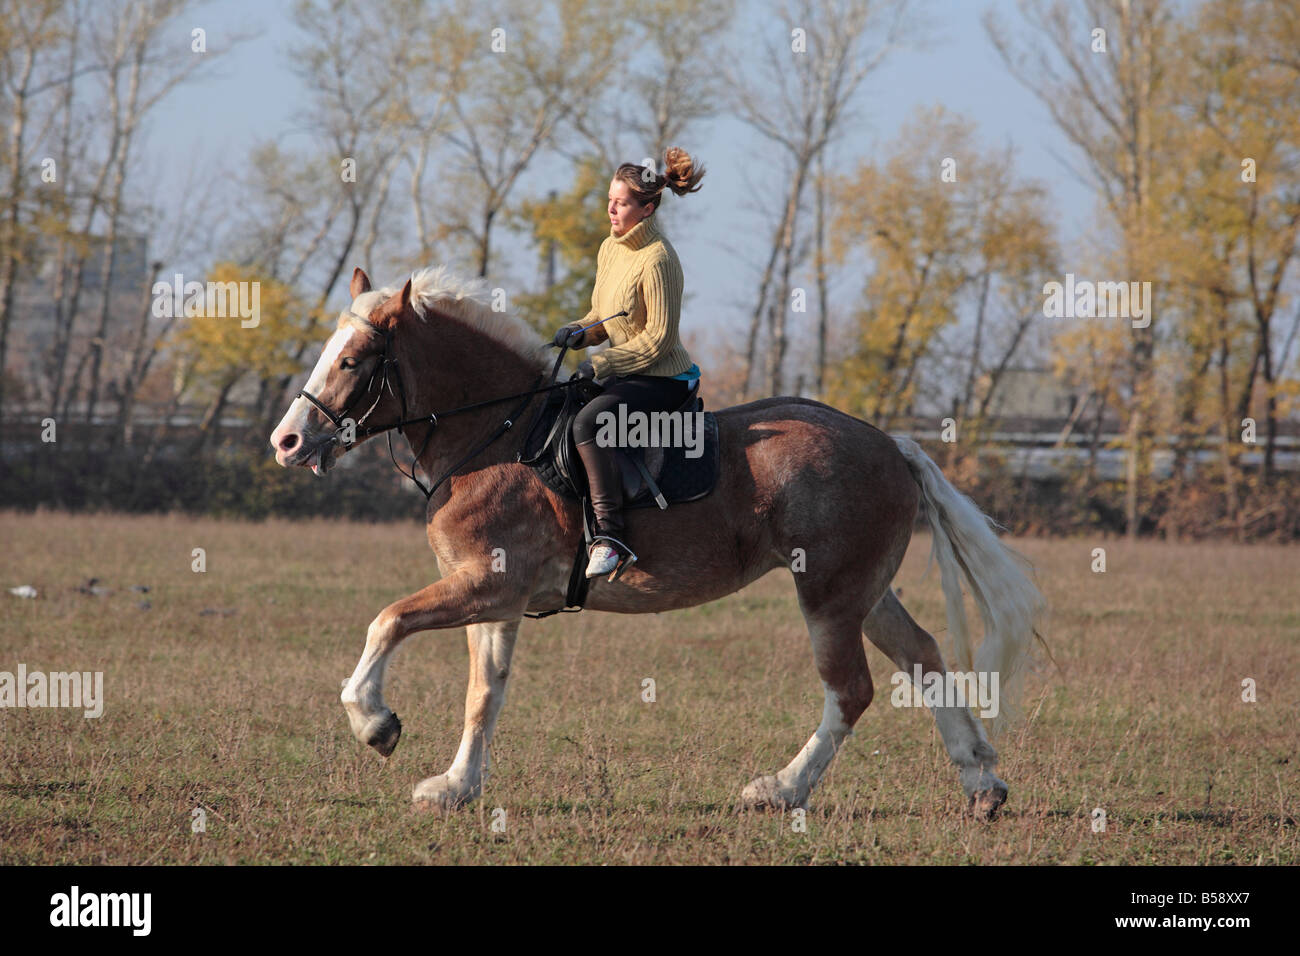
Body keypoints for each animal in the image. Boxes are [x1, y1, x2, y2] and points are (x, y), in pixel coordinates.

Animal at [269, 265, 1046, 818]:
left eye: (354, 360)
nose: (287, 441)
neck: (497, 435)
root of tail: (892, 445)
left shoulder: (482, 586)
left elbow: (387, 621)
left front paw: (376, 724)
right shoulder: (497, 599)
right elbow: (483, 694)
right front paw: (457, 787)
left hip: (826, 594)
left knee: (850, 690)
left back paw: (782, 790)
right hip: (863, 591)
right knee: (922, 657)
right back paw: (981, 780)